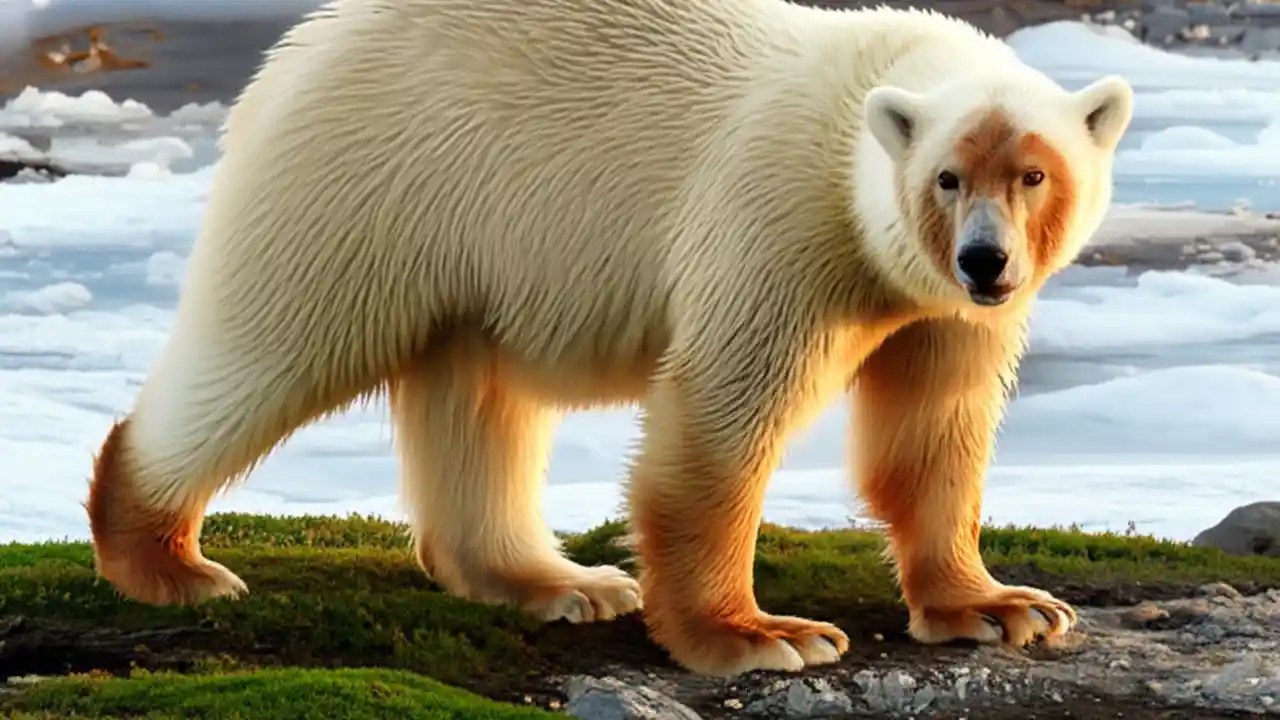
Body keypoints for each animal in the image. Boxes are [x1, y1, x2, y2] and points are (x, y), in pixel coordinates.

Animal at [85, 0, 1134, 677]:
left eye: (1033, 173)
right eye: (949, 176)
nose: (986, 262)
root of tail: (299, 47)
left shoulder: (935, 308)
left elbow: (932, 429)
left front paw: (1004, 608)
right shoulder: (782, 220)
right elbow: (722, 418)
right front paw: (763, 635)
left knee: (478, 399)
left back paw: (560, 580)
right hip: (370, 176)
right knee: (270, 346)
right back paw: (165, 557)